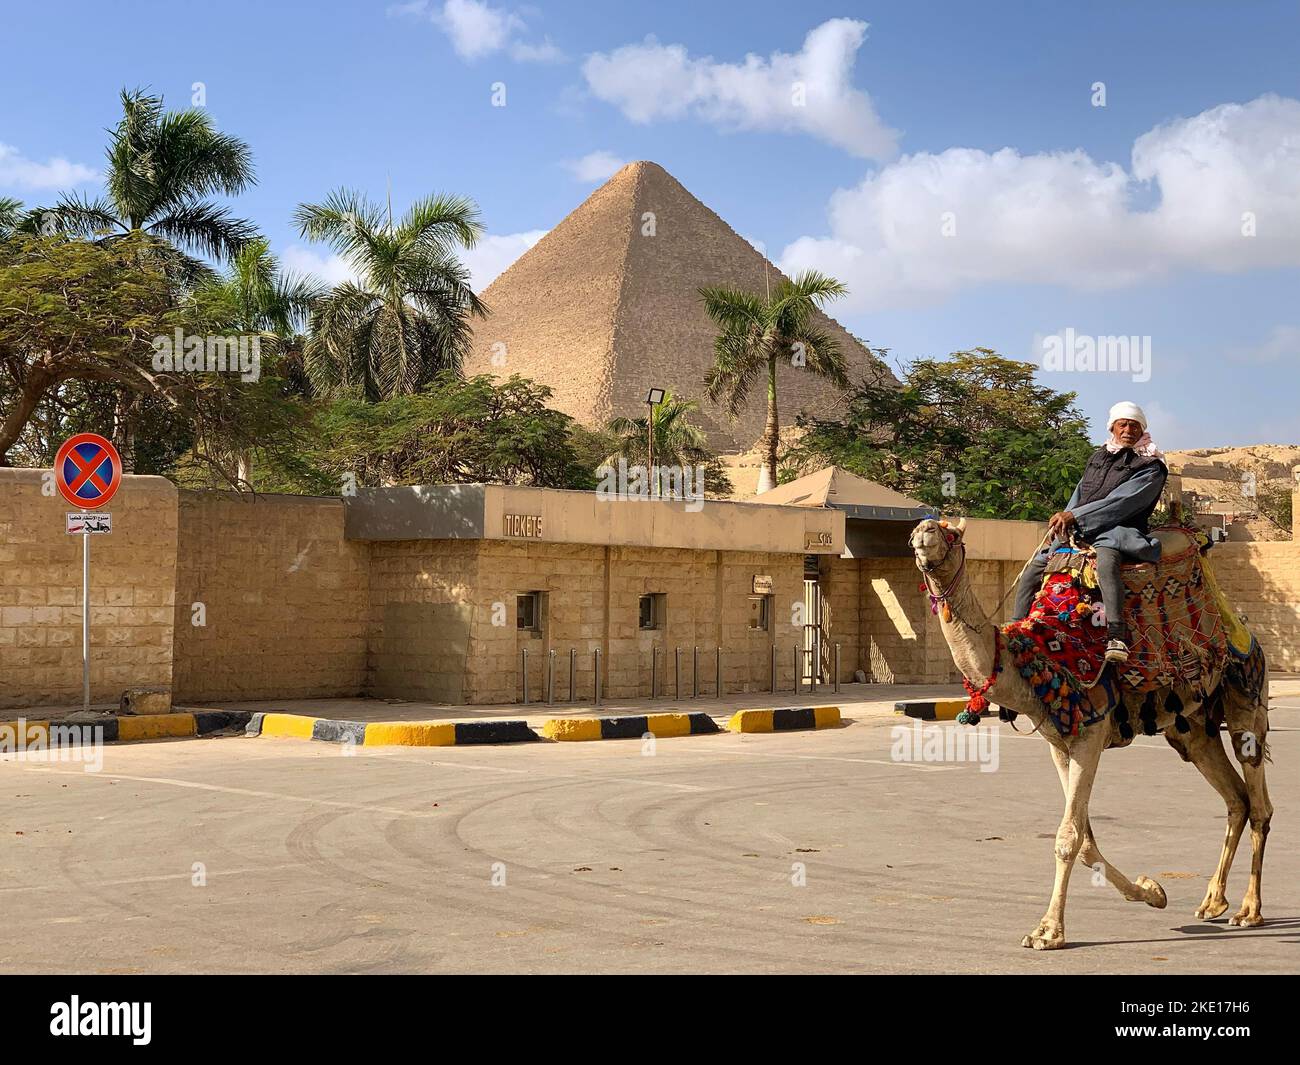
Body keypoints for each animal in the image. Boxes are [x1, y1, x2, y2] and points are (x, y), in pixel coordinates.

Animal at [909, 516, 1272, 950]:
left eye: (952, 534)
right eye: (926, 528)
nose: (922, 532)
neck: (1038, 660)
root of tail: (1245, 633)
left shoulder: (1091, 733)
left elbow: (1069, 836)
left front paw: (1048, 931)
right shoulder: (1058, 742)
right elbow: (1085, 842)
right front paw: (1152, 891)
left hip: (1246, 695)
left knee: (1259, 802)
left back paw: (1249, 911)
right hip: (1194, 731)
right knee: (1236, 799)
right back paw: (1213, 902)